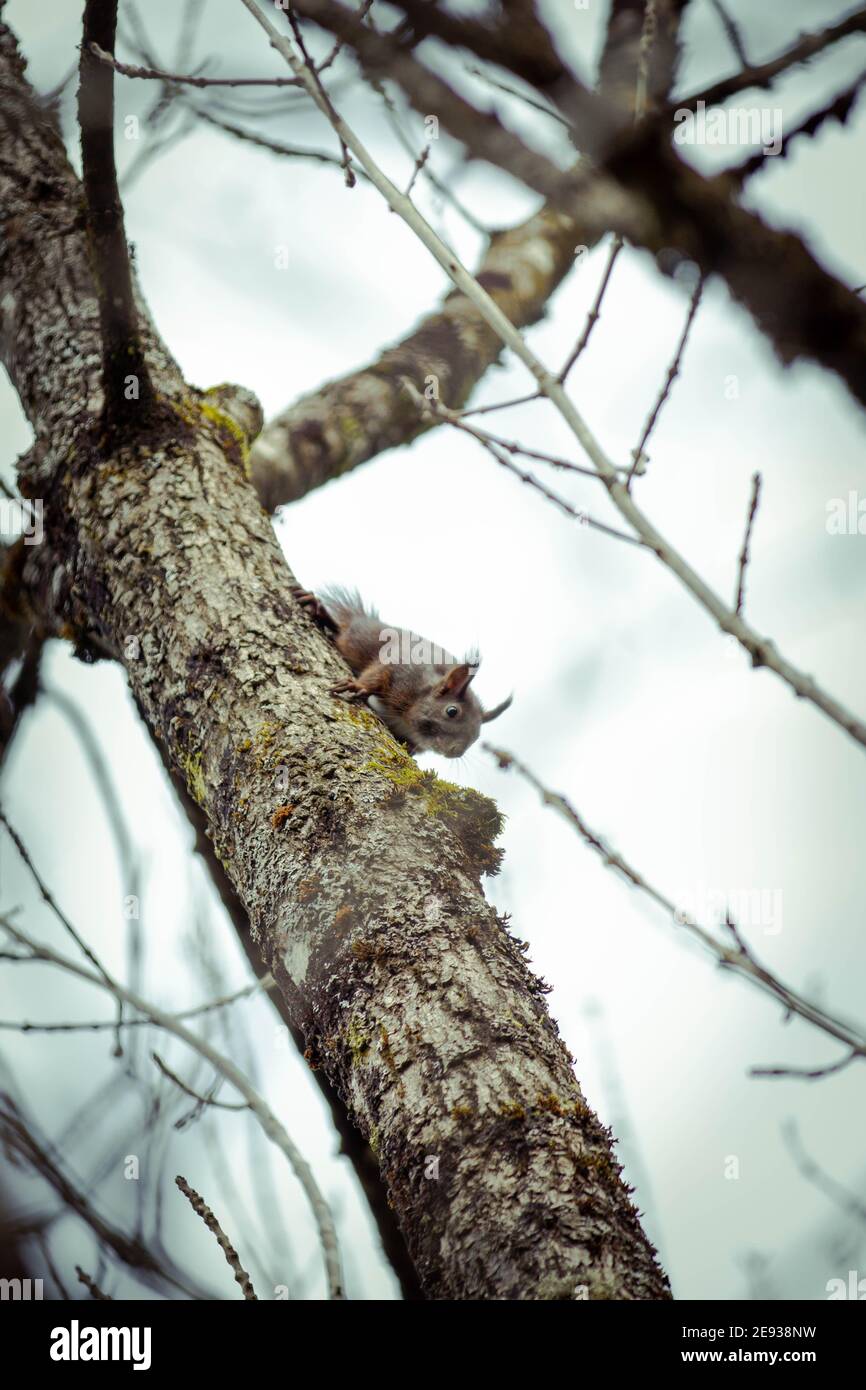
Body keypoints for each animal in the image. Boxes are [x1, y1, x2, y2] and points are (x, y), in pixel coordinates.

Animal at [292, 586, 512, 757]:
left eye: (477, 735)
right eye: (452, 711)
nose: (455, 752)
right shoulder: (400, 668)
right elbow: (376, 675)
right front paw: (356, 685)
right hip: (361, 639)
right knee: (344, 632)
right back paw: (319, 610)